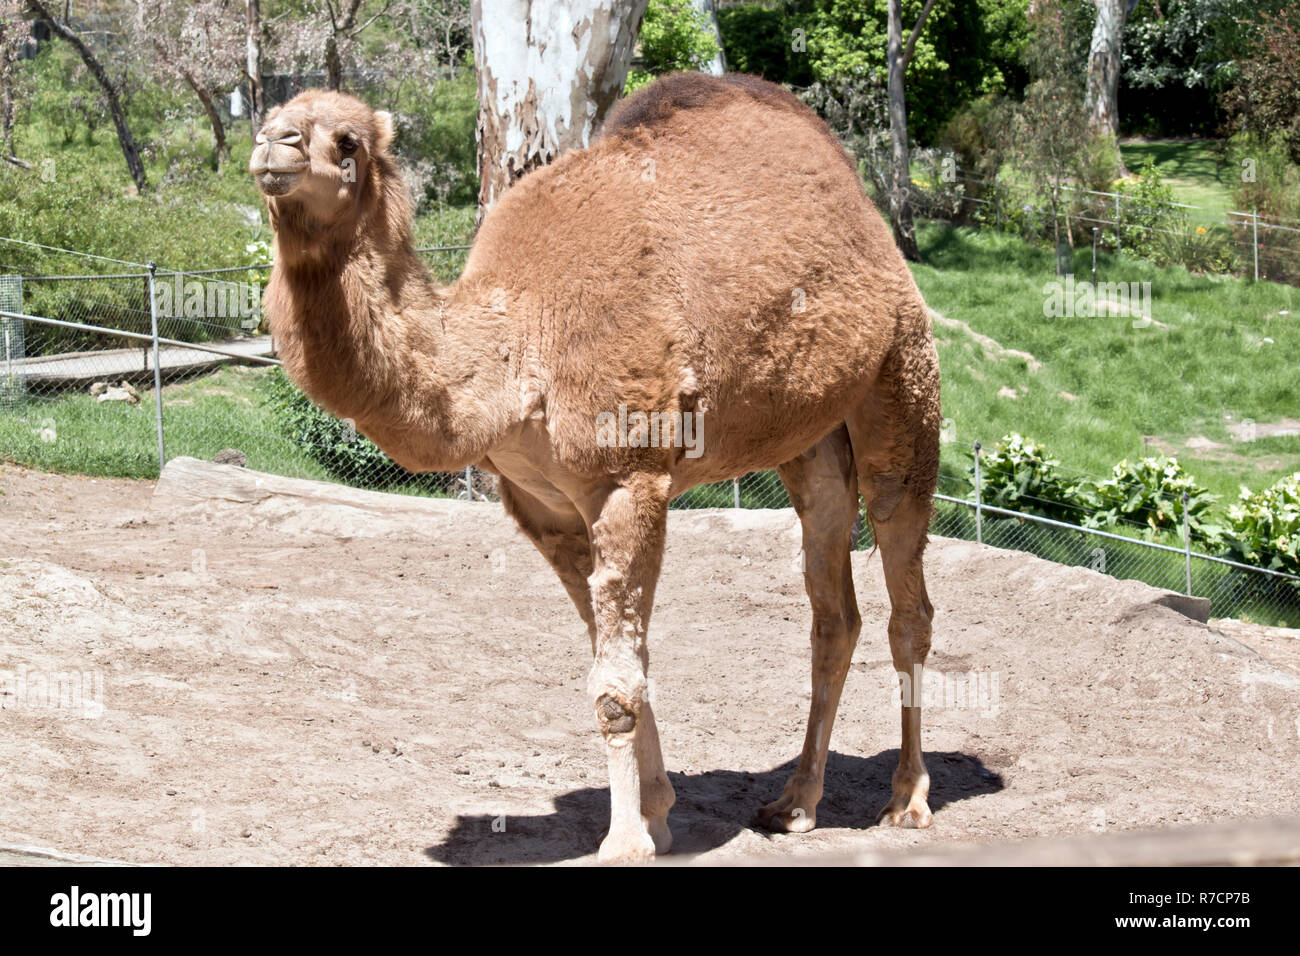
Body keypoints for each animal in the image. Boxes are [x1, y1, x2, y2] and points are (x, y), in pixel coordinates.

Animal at [249, 72, 941, 864]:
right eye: (270, 118)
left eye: (348, 142)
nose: (274, 147)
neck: (514, 348)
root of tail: (869, 216)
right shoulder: (545, 509)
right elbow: (621, 660)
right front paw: (660, 813)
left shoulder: (627, 480)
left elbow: (614, 686)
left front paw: (625, 841)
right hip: (810, 439)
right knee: (834, 611)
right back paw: (795, 803)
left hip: (901, 374)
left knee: (906, 590)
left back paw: (907, 800)